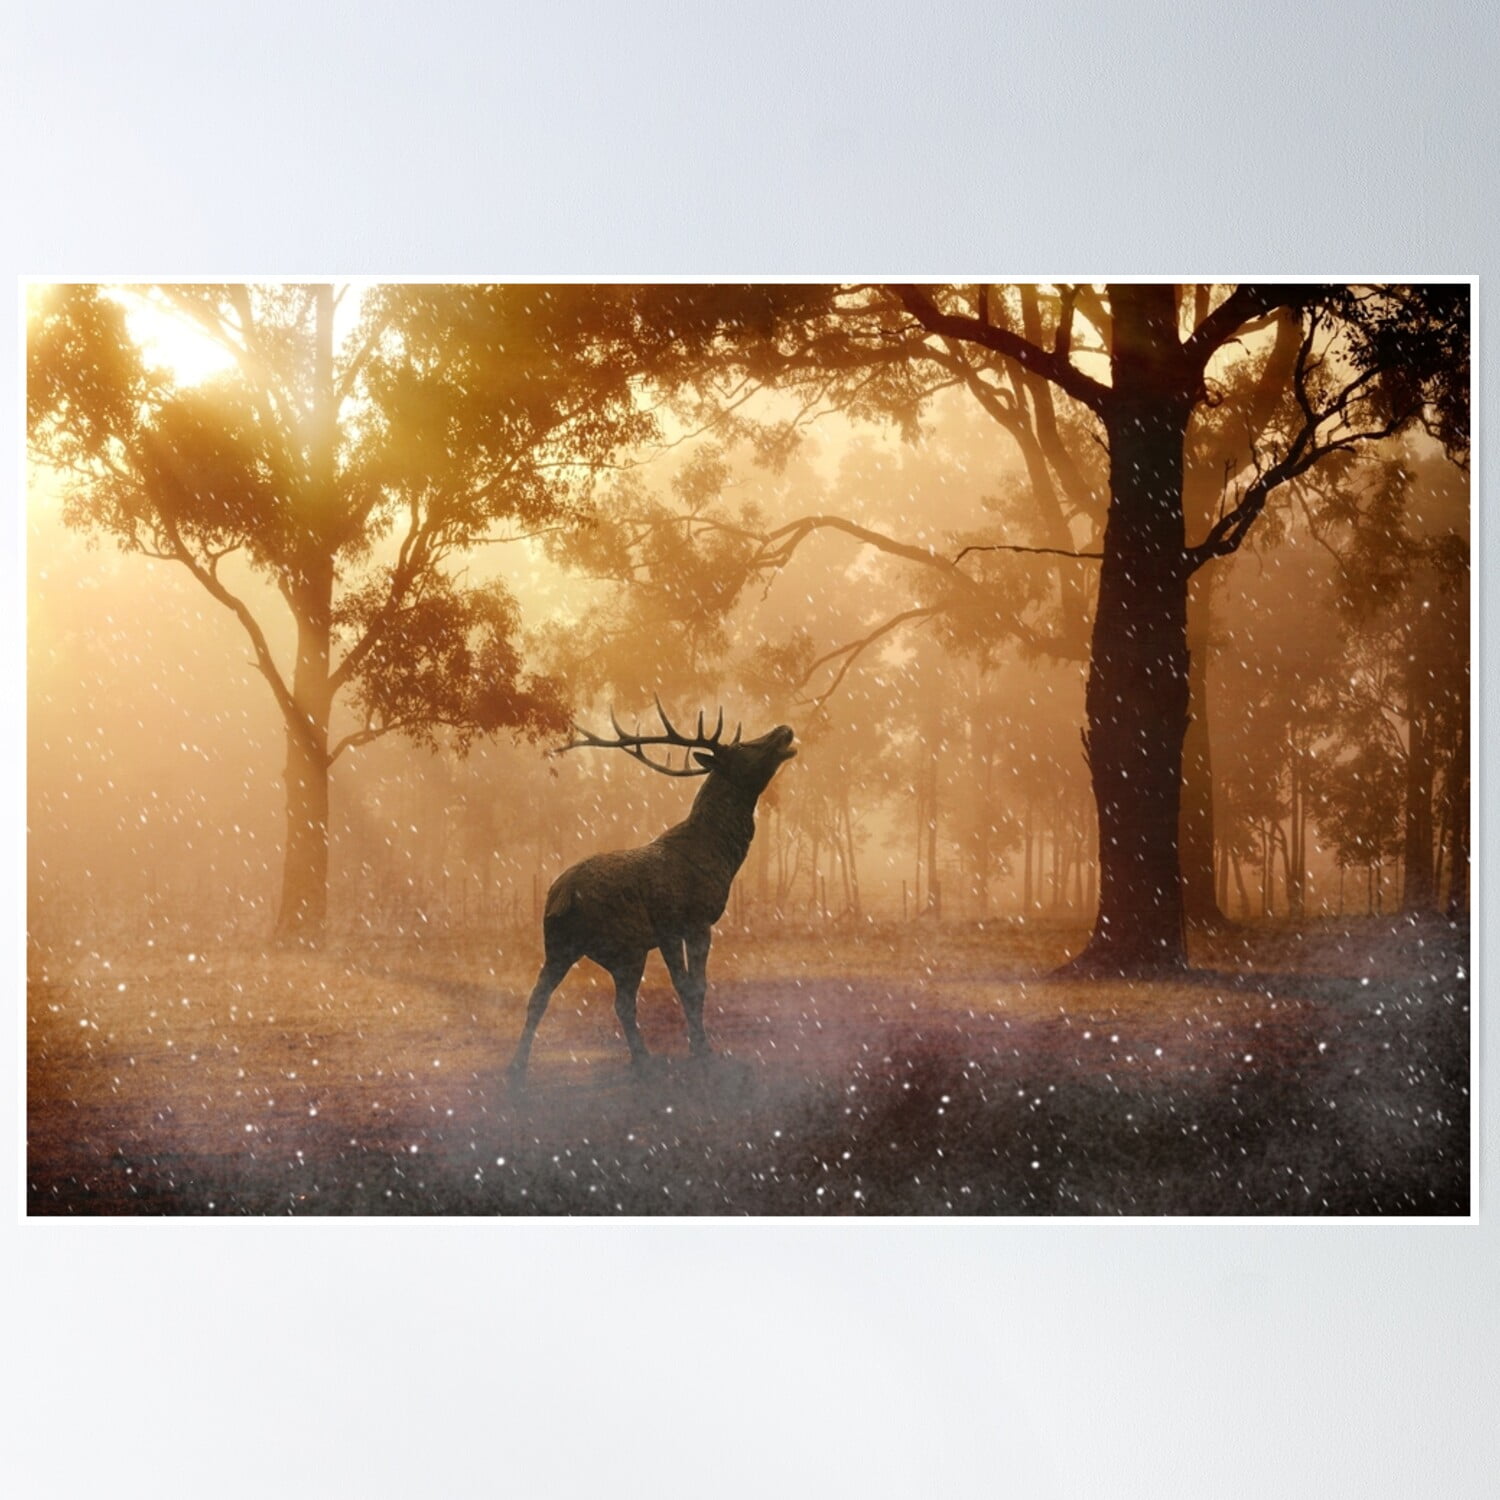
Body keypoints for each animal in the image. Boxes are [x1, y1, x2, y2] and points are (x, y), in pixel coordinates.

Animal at [507, 701, 797, 1080]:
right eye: (744, 747)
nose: (784, 729)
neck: (719, 856)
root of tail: (563, 897)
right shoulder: (686, 921)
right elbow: (693, 986)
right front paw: (702, 1050)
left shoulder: (673, 931)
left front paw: (697, 1047)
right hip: (626, 944)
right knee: (621, 1003)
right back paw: (643, 1057)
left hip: (560, 945)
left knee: (543, 997)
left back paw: (519, 1066)